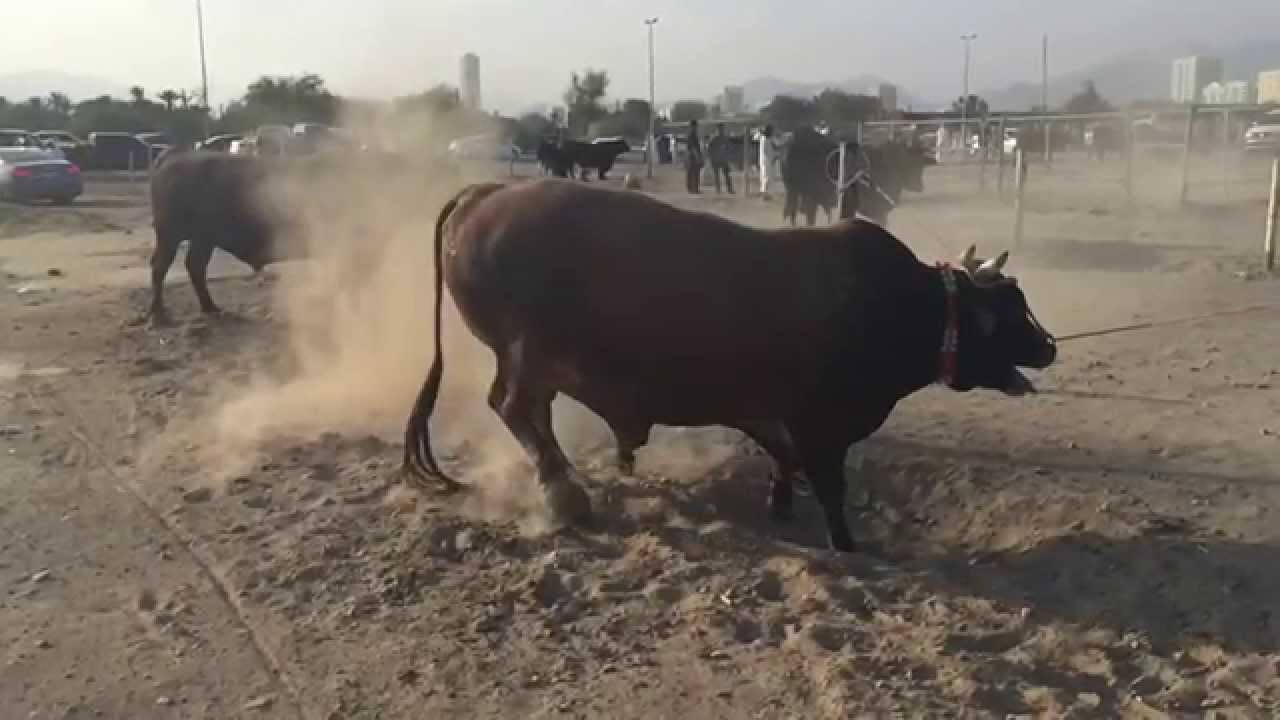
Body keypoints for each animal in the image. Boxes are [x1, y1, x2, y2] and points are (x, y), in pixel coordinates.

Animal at [401, 178, 1058, 553]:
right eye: (1009, 308)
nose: (1050, 346)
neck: (895, 302)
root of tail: (485, 195)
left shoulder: (772, 414)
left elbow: (784, 460)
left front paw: (780, 504)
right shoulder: (820, 423)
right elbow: (830, 484)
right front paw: (845, 541)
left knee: (529, 412)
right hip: (528, 352)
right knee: (514, 407)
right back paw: (565, 493)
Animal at [781, 127, 935, 228]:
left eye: (921, 162)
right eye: (912, 161)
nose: (919, 187)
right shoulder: (876, 209)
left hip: (802, 195)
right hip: (798, 193)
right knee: (797, 214)